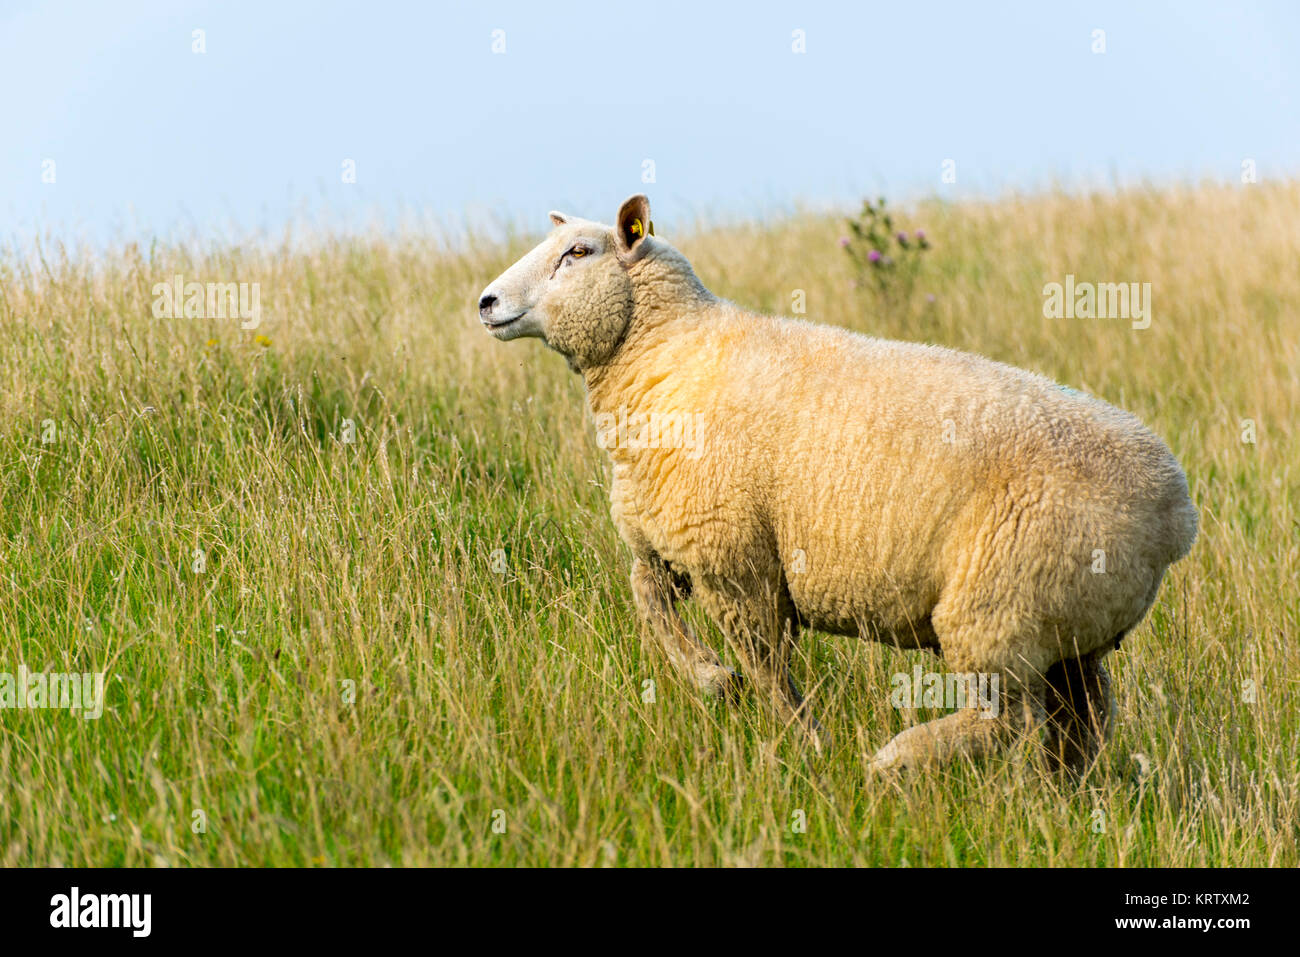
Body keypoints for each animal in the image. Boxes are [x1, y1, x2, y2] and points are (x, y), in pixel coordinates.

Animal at [477, 194, 1198, 773]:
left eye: (577, 253)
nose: (486, 302)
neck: (665, 357)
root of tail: (1176, 513)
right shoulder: (670, 546)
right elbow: (647, 603)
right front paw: (710, 677)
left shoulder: (736, 563)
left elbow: (769, 669)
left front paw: (804, 742)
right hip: (1070, 625)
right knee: (1085, 716)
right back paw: (1067, 792)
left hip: (1000, 605)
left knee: (1008, 717)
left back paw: (895, 761)